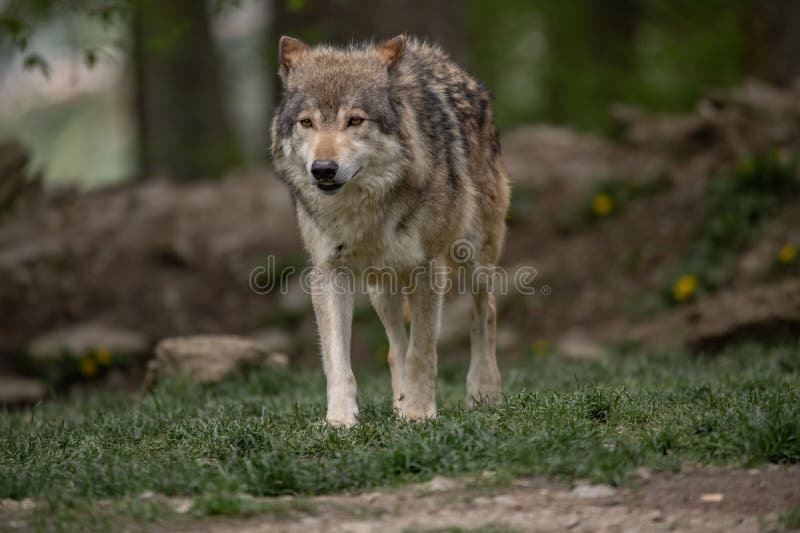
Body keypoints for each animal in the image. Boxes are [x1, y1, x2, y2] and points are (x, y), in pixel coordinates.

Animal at [271, 34, 510, 427]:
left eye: (355, 120)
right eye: (306, 122)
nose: (323, 169)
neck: (363, 211)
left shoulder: (427, 268)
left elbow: (422, 351)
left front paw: (419, 414)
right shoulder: (328, 272)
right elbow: (338, 361)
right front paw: (340, 420)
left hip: (472, 257)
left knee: (484, 313)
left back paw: (483, 393)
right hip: (381, 287)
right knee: (395, 346)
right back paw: (398, 403)